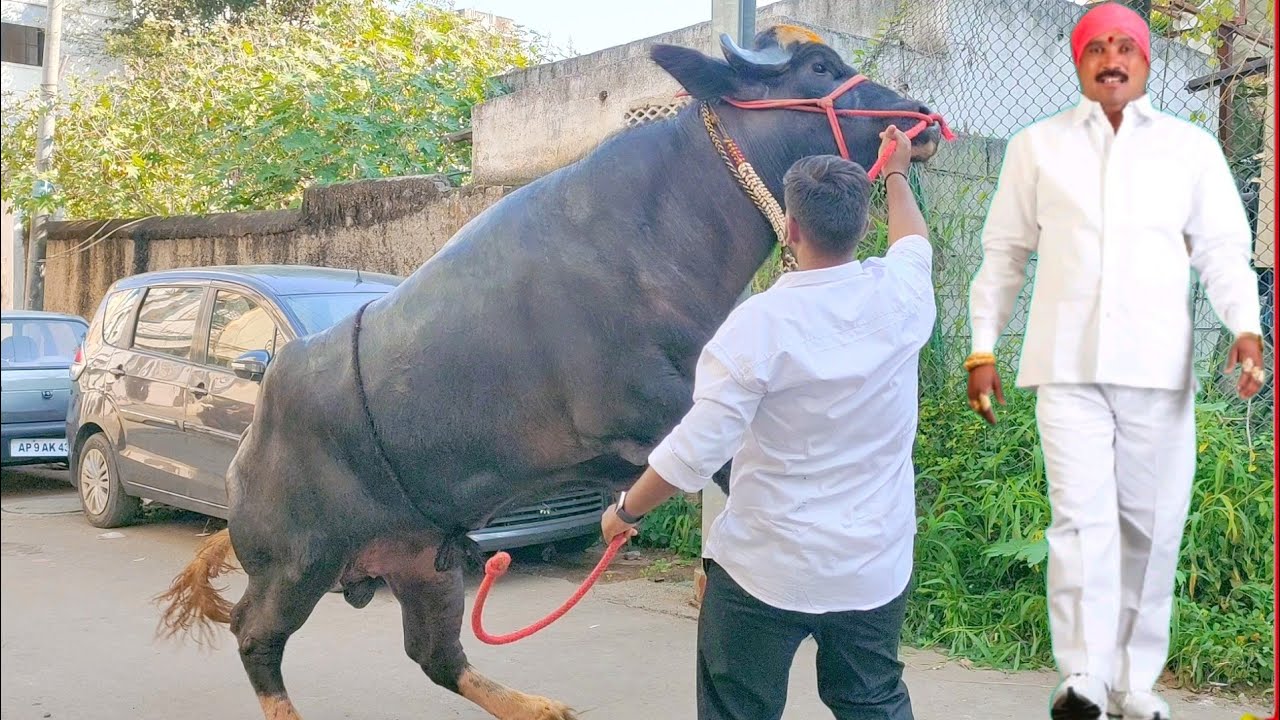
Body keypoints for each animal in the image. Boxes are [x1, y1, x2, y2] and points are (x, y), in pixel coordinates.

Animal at [157, 24, 946, 720]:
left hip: (423, 563)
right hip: (296, 562)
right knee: (254, 636)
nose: (917, 117)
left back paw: (535, 705)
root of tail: (251, 444)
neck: (658, 228)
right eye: (817, 68)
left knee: (435, 655)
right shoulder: (654, 407)